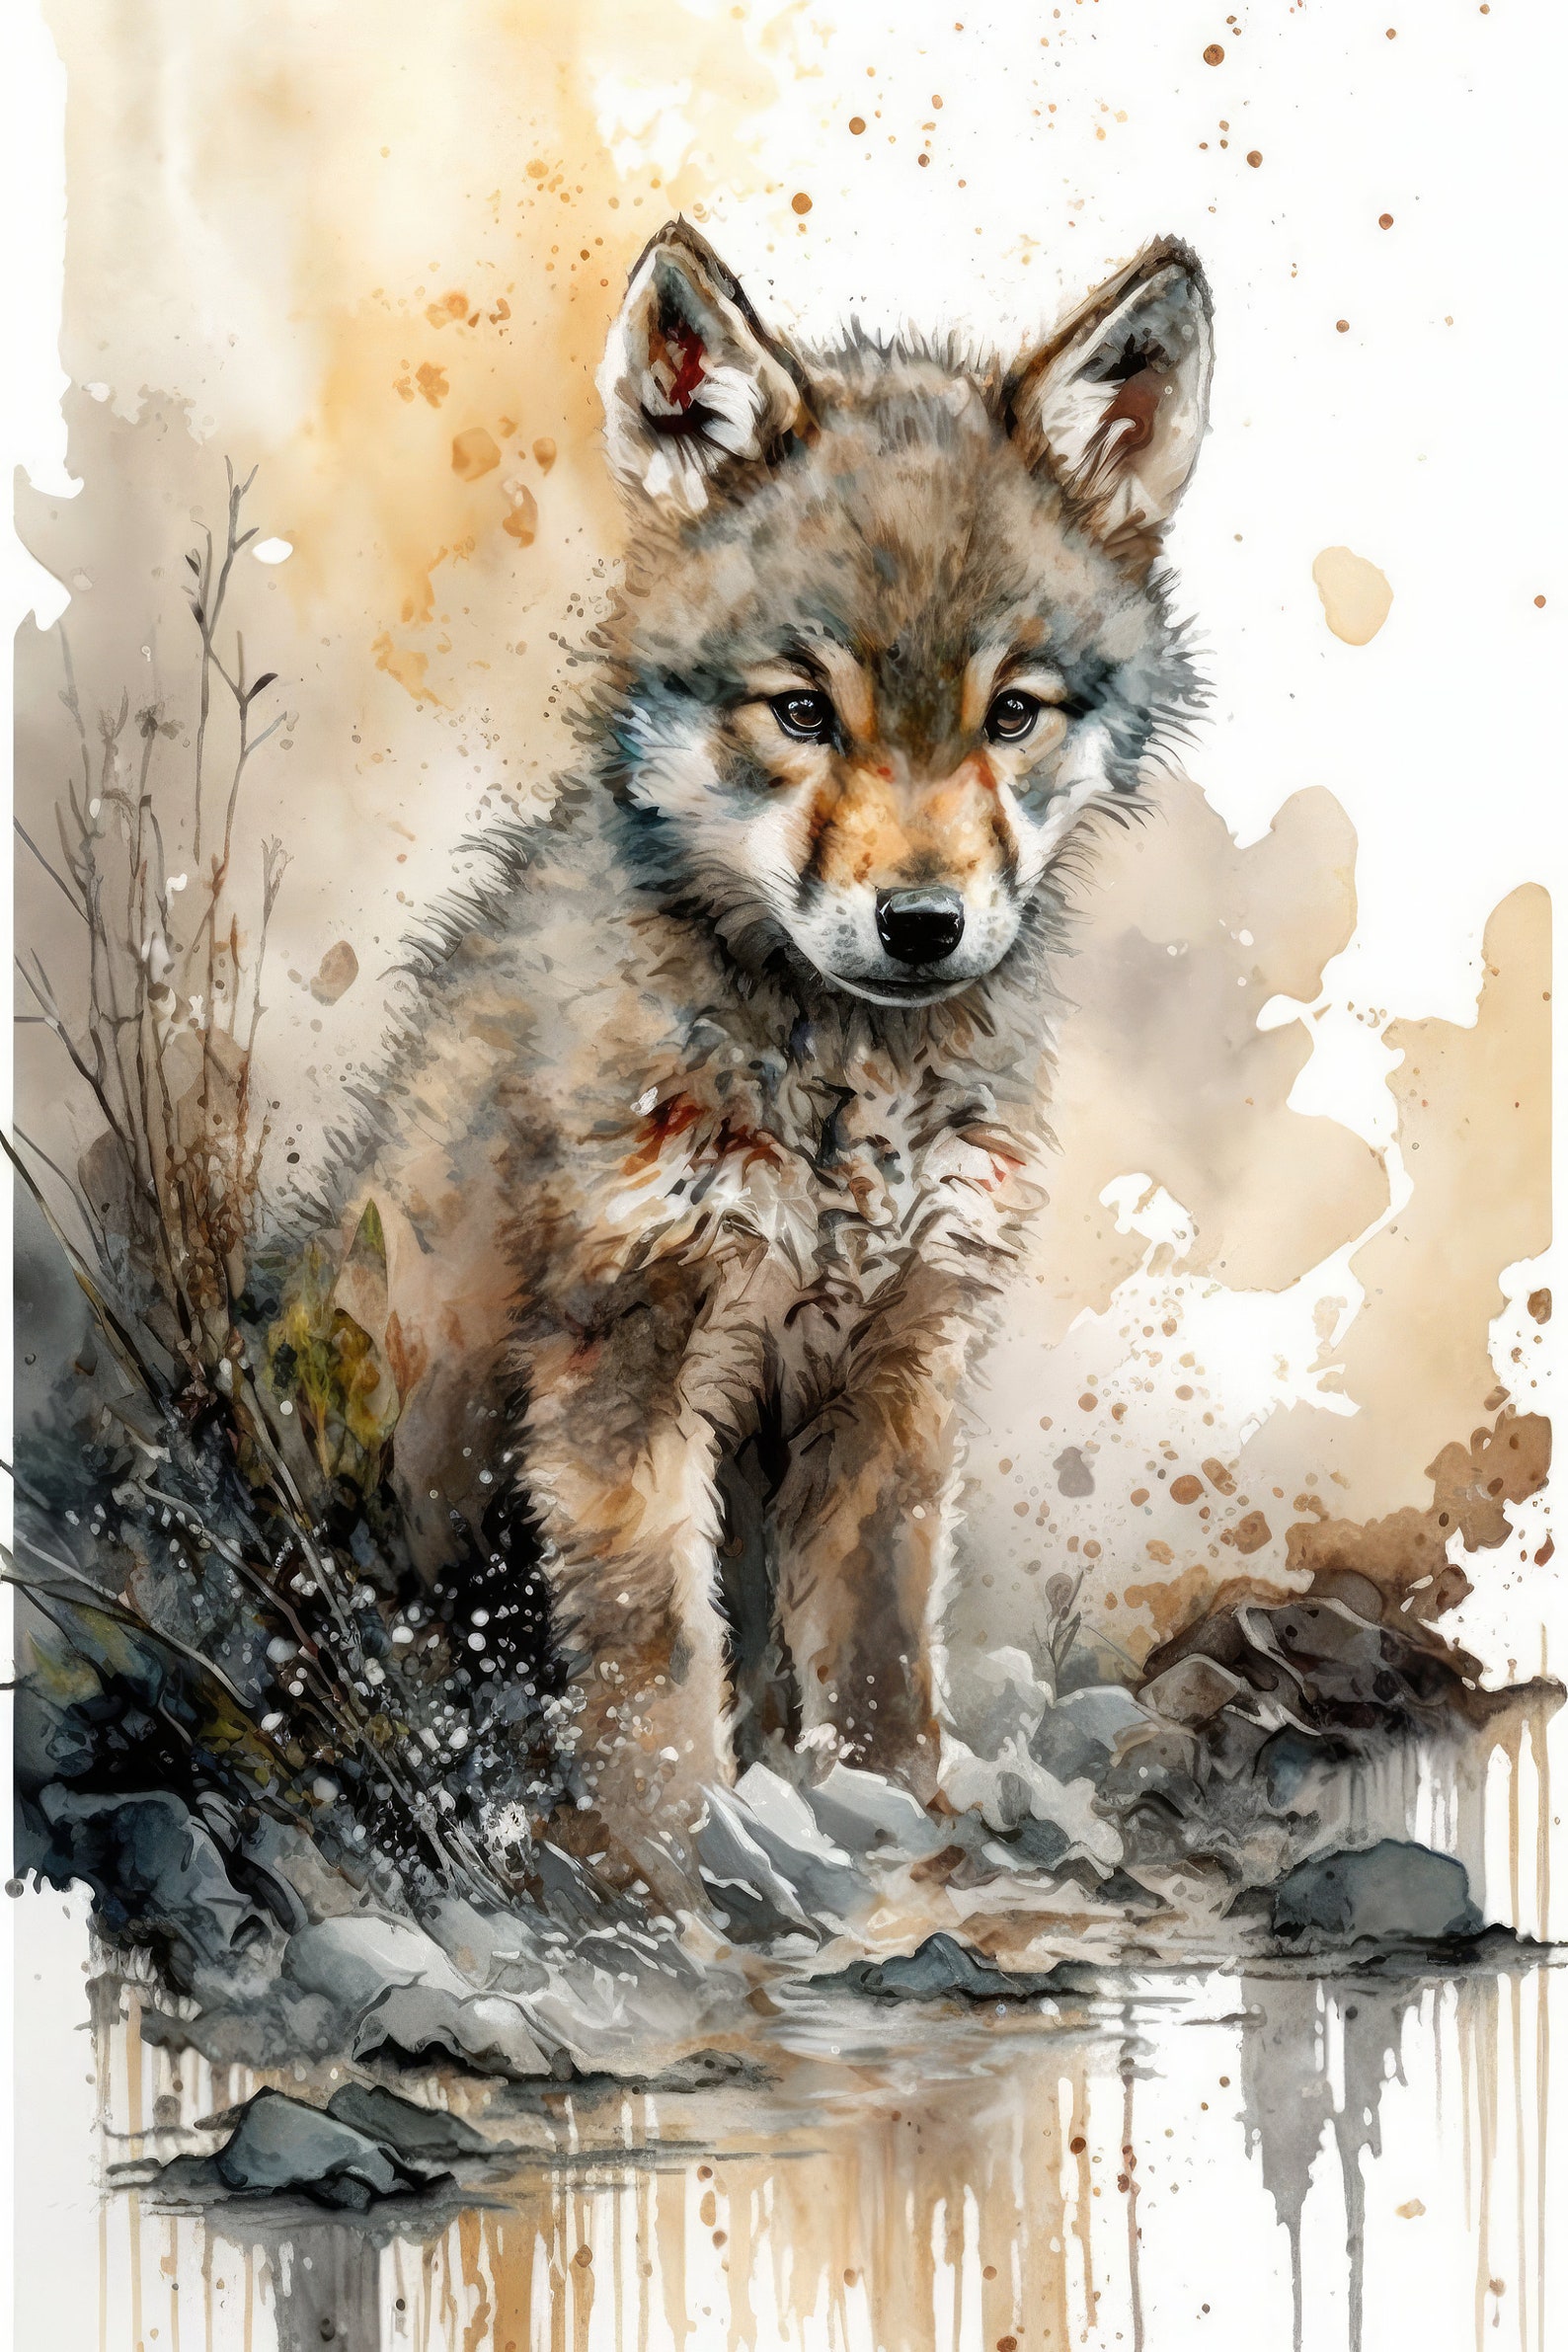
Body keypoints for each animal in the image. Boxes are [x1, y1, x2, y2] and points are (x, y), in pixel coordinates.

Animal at [311, 221, 1213, 1900]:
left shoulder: (899, 1373)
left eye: (1013, 716)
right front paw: (674, 1884)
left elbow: (880, 1671)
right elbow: (658, 1681)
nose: (922, 925)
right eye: (801, 711)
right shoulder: (620, 1374)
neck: (848, 1097)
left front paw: (900, 1839)